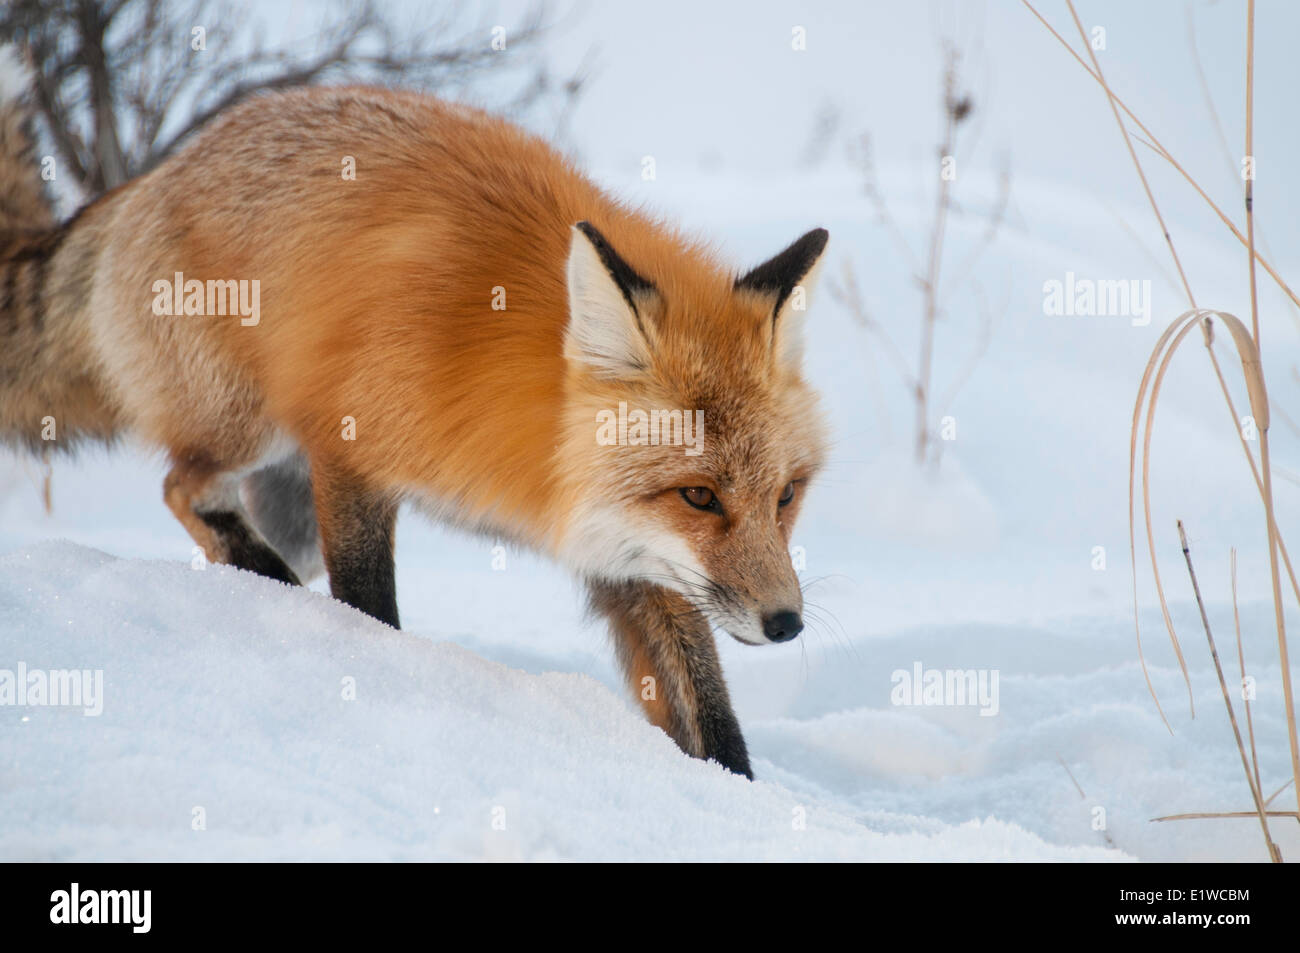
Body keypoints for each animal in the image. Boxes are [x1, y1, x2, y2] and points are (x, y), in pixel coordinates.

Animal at [0, 76, 829, 779]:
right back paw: (265, 581)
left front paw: (733, 795)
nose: (787, 622)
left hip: (288, 500)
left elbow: (708, 711)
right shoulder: (351, 451)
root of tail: (153, 176)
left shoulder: (629, 552)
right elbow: (369, 607)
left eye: (786, 495)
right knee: (182, 486)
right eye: (699, 496)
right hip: (248, 427)